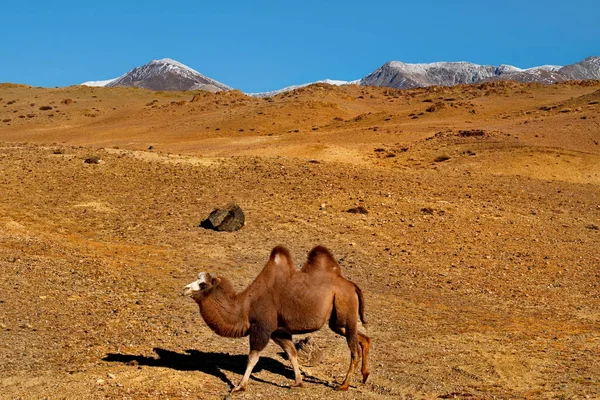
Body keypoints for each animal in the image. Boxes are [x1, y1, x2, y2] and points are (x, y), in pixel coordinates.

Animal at [183, 245, 370, 392]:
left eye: (202, 284)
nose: (185, 289)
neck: (245, 307)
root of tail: (352, 286)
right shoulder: (278, 331)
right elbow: (292, 353)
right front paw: (297, 382)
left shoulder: (261, 327)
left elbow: (252, 358)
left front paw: (240, 386)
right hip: (337, 321)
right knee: (362, 338)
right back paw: (365, 375)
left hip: (345, 308)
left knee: (354, 349)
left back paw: (344, 385)